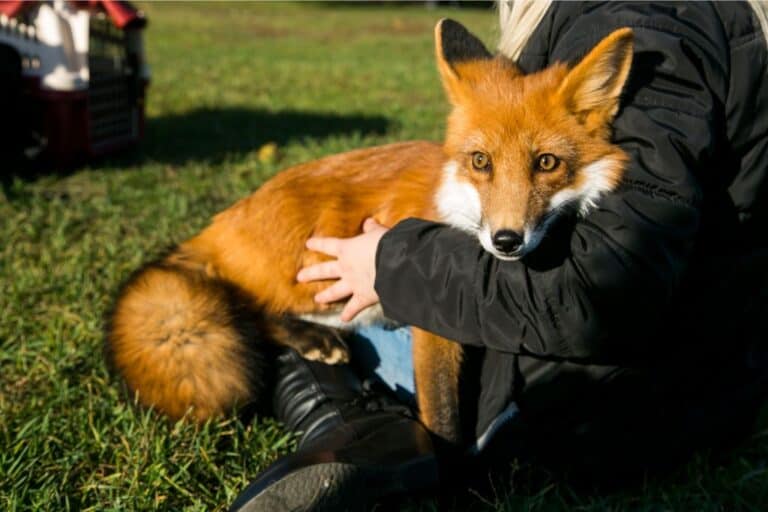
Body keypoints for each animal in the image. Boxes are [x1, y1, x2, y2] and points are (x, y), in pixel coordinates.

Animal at [106, 19, 633, 444]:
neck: (454, 204)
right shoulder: (432, 330)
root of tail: (219, 224)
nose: (506, 241)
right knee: (248, 309)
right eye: (481, 161)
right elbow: (443, 417)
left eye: (546, 163)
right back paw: (306, 338)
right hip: (317, 277)